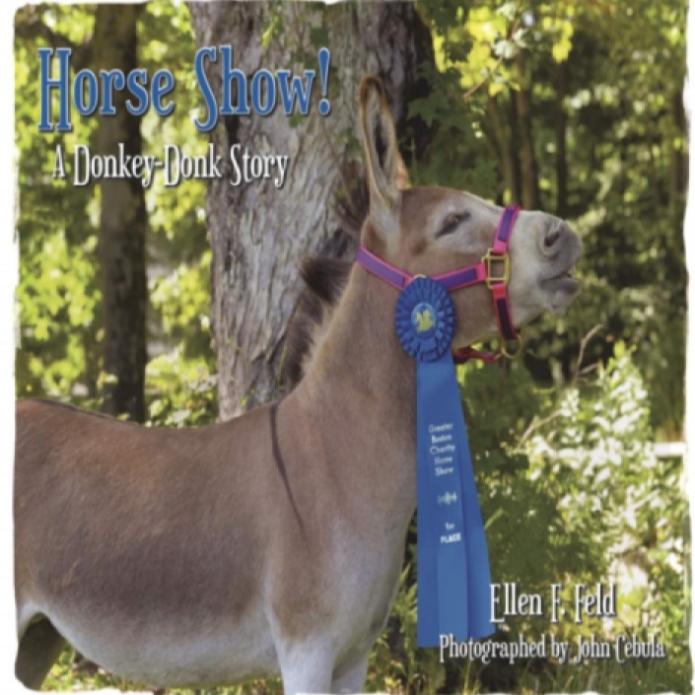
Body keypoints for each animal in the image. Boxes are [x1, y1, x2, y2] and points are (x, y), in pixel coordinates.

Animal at [14, 75, 582, 693]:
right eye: (452, 222)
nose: (564, 235)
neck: (334, 459)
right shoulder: (306, 651)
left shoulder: (353, 657)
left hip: (37, 640)